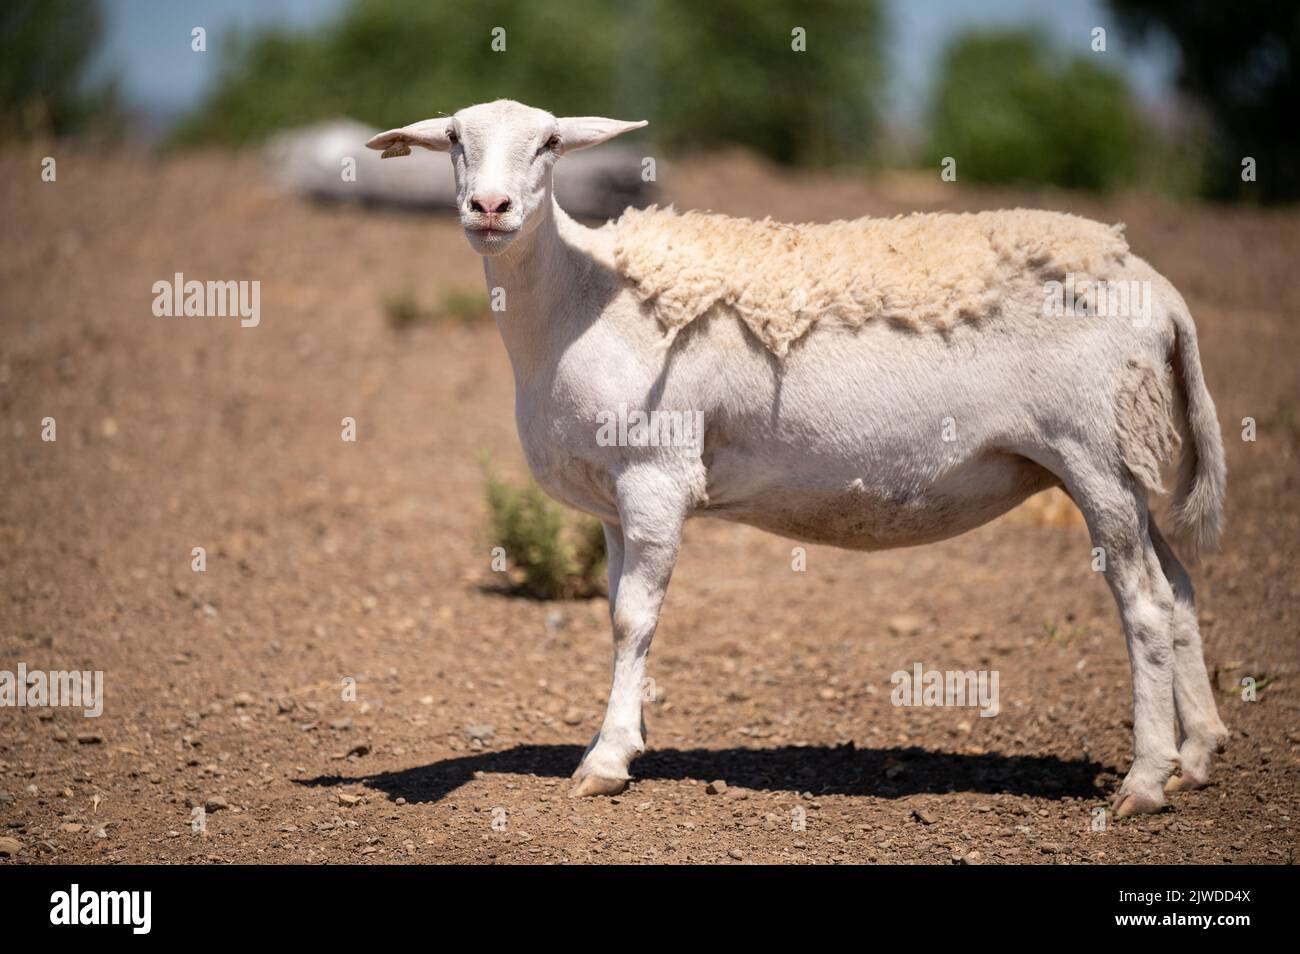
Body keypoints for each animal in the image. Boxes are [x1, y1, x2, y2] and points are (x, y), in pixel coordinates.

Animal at [367, 99, 1229, 815]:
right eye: (454, 139)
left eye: (548, 143)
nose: (489, 208)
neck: (577, 298)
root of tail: (1154, 287)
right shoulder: (612, 499)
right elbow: (618, 613)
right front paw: (628, 734)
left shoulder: (656, 473)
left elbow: (631, 618)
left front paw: (605, 762)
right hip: (1114, 466)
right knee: (1179, 587)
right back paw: (1195, 758)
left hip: (1095, 451)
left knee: (1144, 603)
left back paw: (1144, 783)